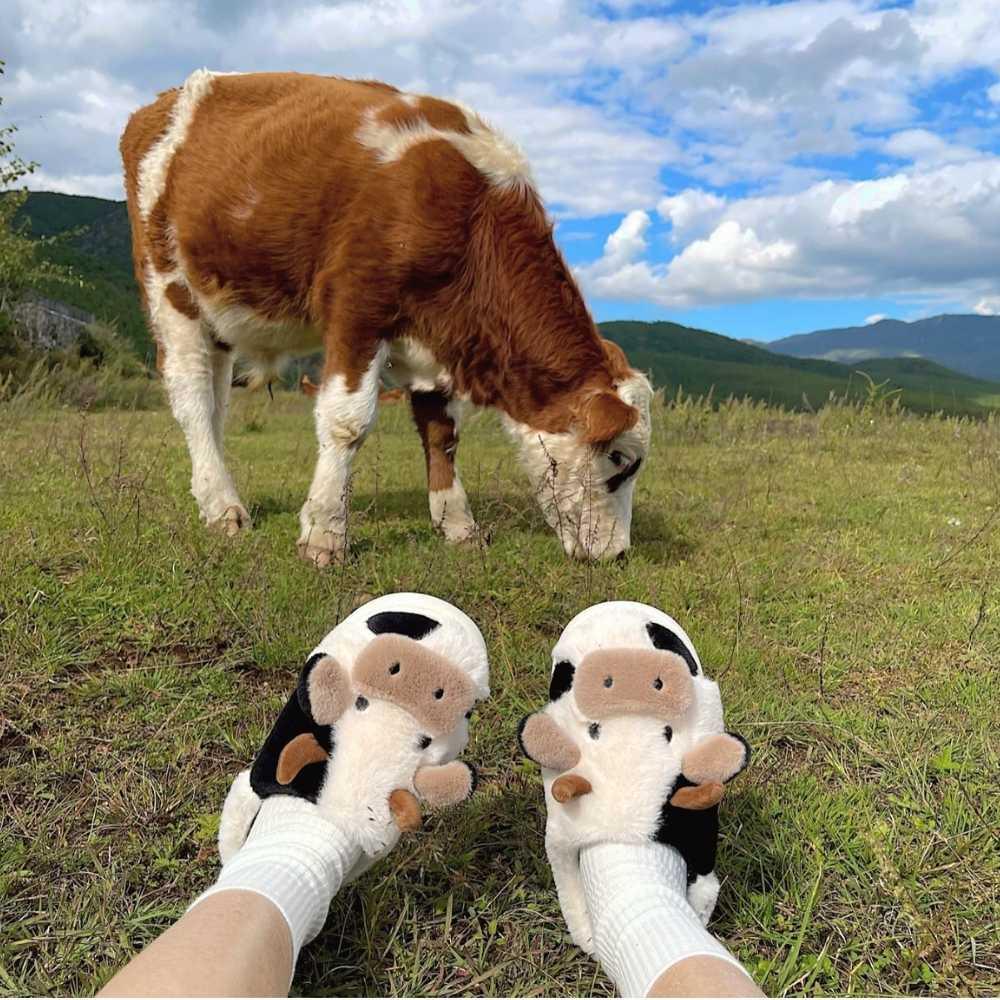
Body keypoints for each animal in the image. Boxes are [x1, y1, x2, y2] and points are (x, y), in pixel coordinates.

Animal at [120, 71, 652, 564]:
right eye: (619, 458)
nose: (619, 554)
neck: (469, 216)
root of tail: (161, 102)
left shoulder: (438, 332)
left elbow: (442, 434)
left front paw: (458, 525)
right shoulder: (357, 306)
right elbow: (347, 422)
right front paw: (325, 534)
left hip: (220, 317)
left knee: (216, 405)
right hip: (169, 288)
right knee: (191, 397)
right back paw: (223, 507)